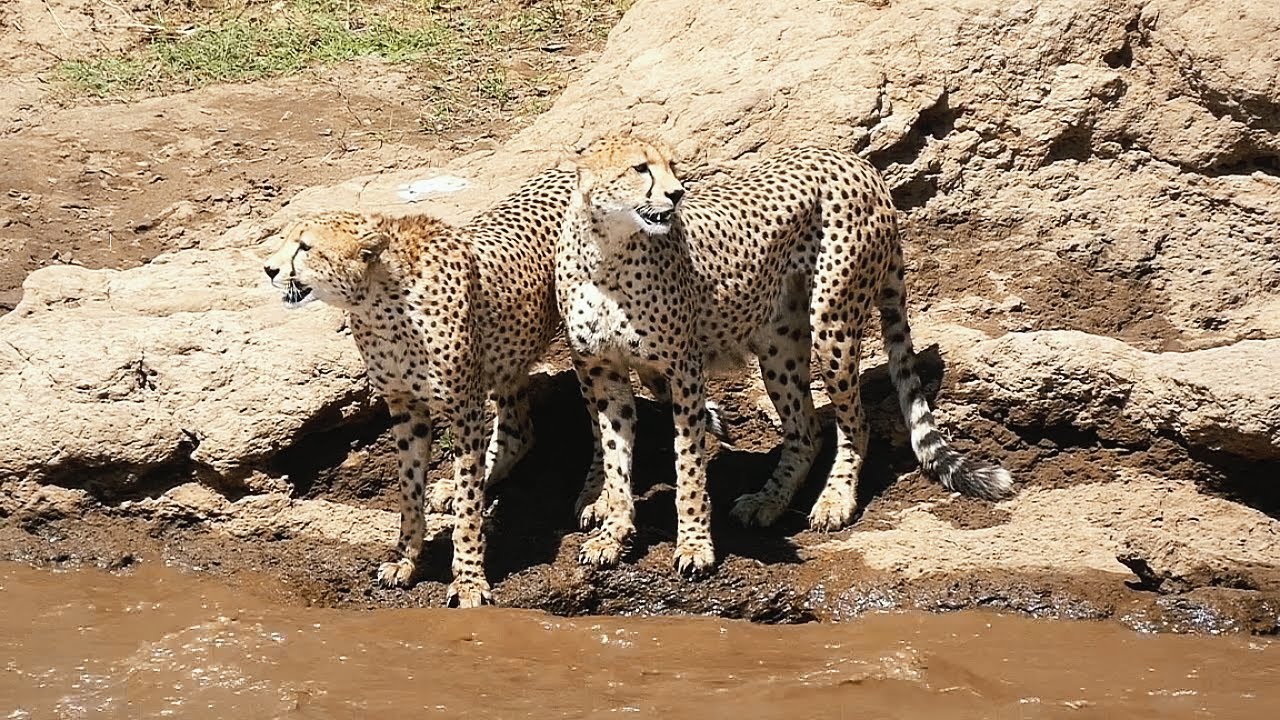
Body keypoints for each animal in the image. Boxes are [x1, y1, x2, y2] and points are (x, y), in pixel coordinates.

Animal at [262, 167, 576, 607]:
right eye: (286, 239)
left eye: (305, 247)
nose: (269, 269)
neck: (379, 303)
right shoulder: (404, 405)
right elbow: (409, 488)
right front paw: (405, 559)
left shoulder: (464, 410)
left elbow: (468, 505)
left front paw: (469, 578)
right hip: (506, 360)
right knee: (520, 430)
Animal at [555, 134, 1013, 576]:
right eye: (639, 168)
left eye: (672, 165)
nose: (677, 193)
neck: (606, 254)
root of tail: (856, 162)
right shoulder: (604, 374)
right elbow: (616, 460)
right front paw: (612, 534)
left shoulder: (685, 370)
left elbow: (688, 466)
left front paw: (695, 545)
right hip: (779, 347)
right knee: (807, 429)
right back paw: (769, 501)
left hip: (831, 323)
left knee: (855, 422)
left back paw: (835, 499)